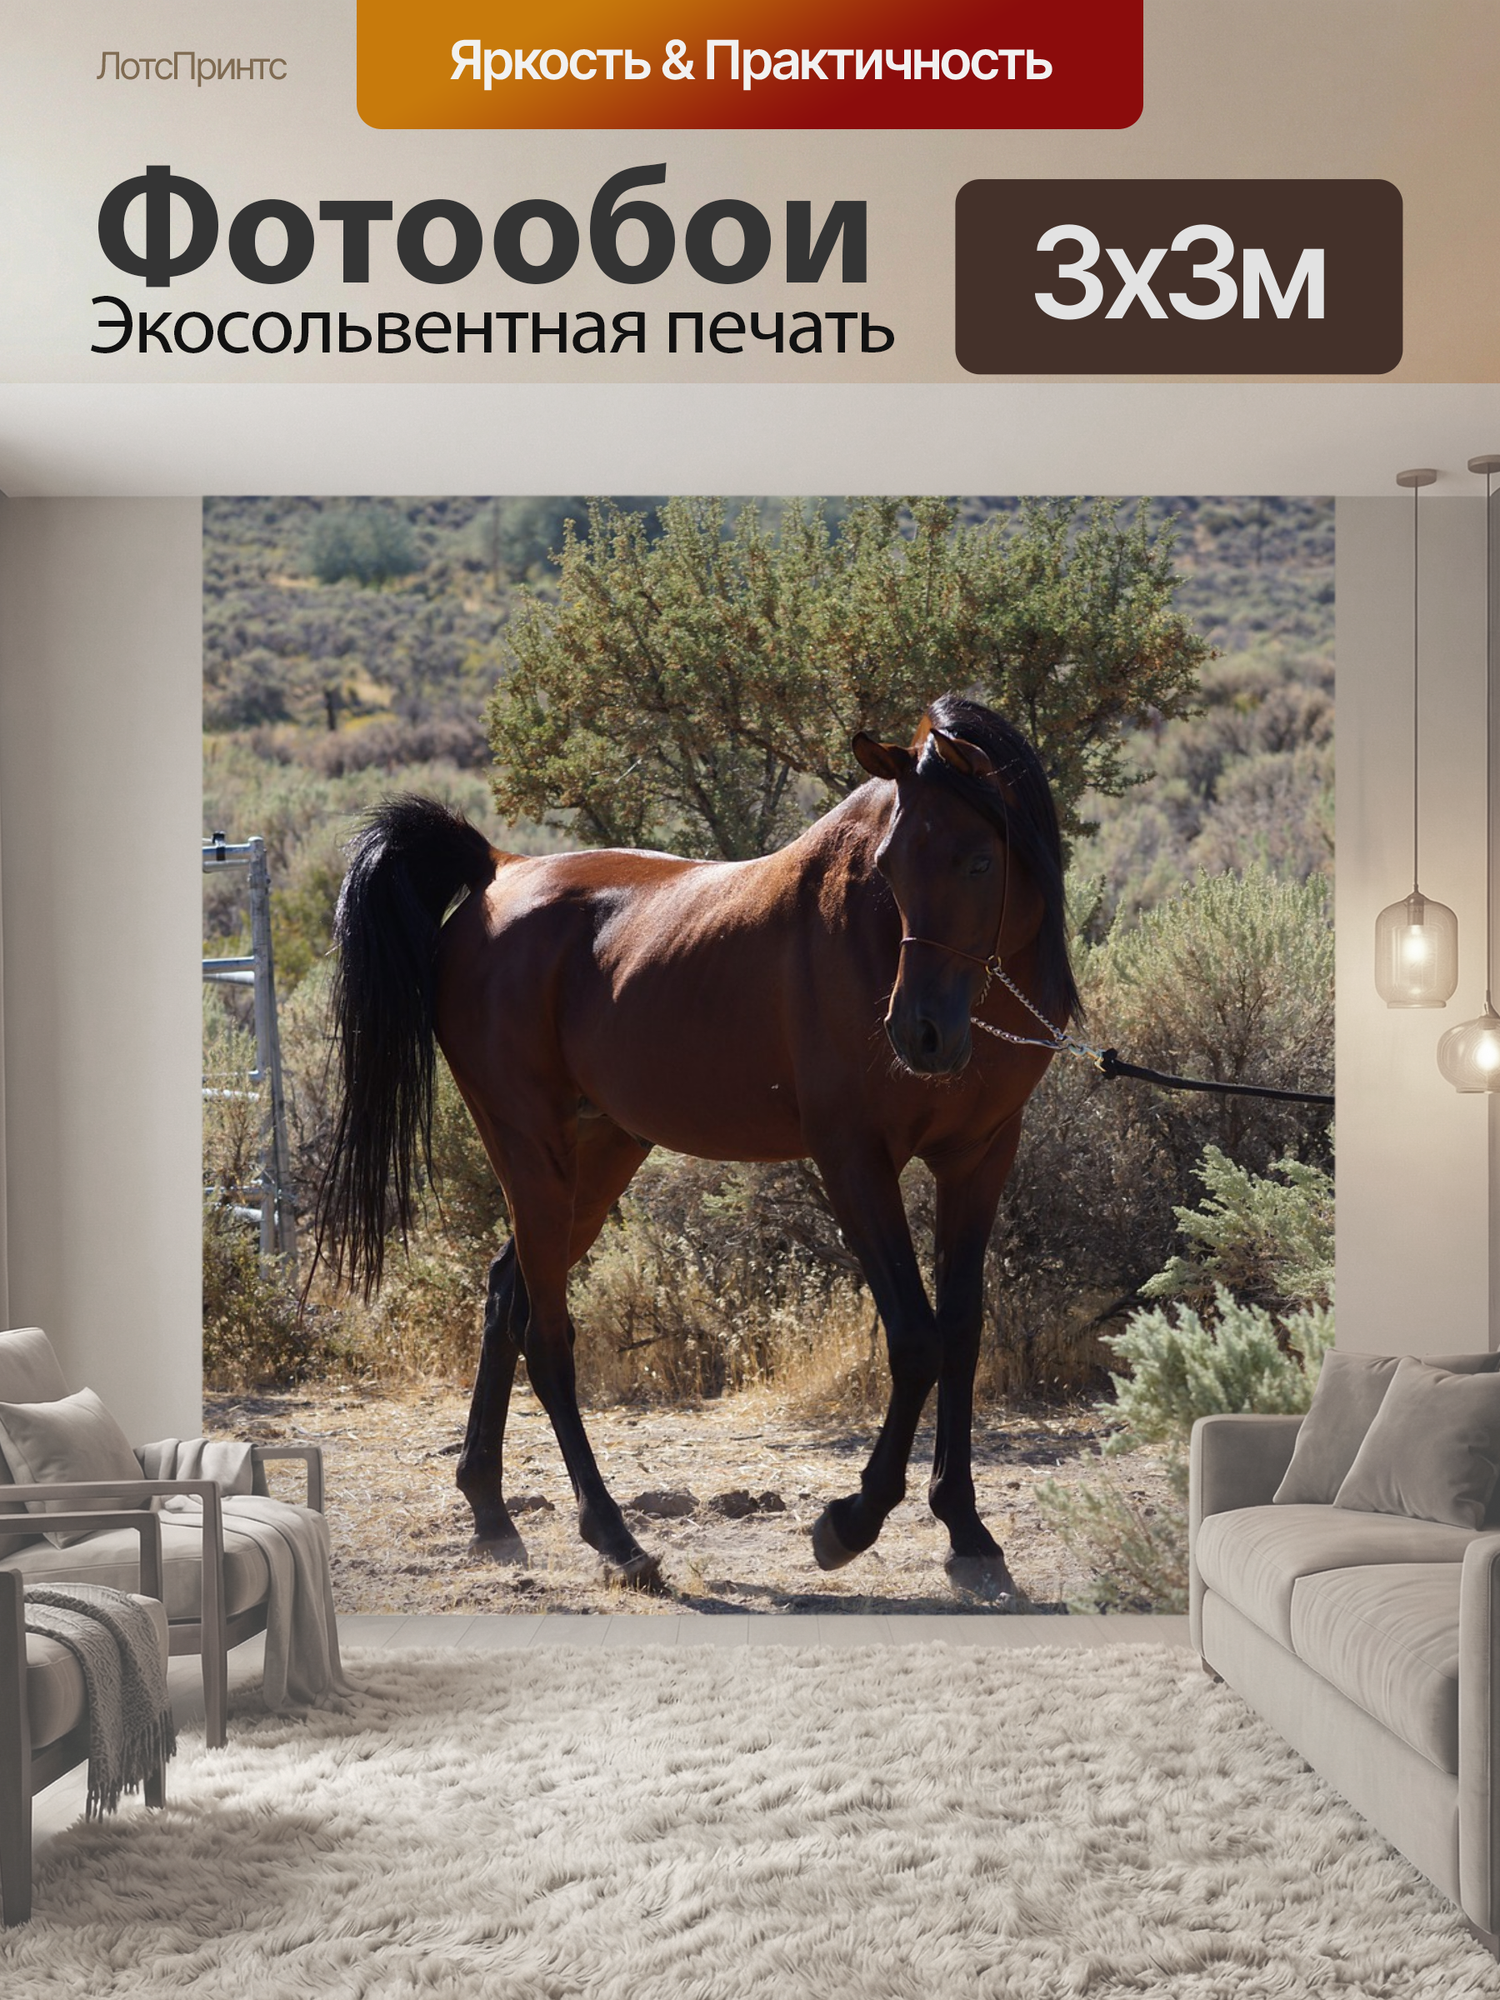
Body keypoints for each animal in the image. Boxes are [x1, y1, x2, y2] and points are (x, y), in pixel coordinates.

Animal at [317, 693, 1080, 1598]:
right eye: (890, 868)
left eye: (978, 861)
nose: (918, 1034)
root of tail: (499, 869)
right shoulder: (854, 1161)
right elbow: (916, 1336)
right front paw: (848, 1523)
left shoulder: (980, 1156)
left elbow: (961, 1332)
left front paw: (966, 1529)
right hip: (529, 1147)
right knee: (547, 1335)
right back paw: (614, 1536)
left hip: (601, 1153)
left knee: (506, 1296)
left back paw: (493, 1514)